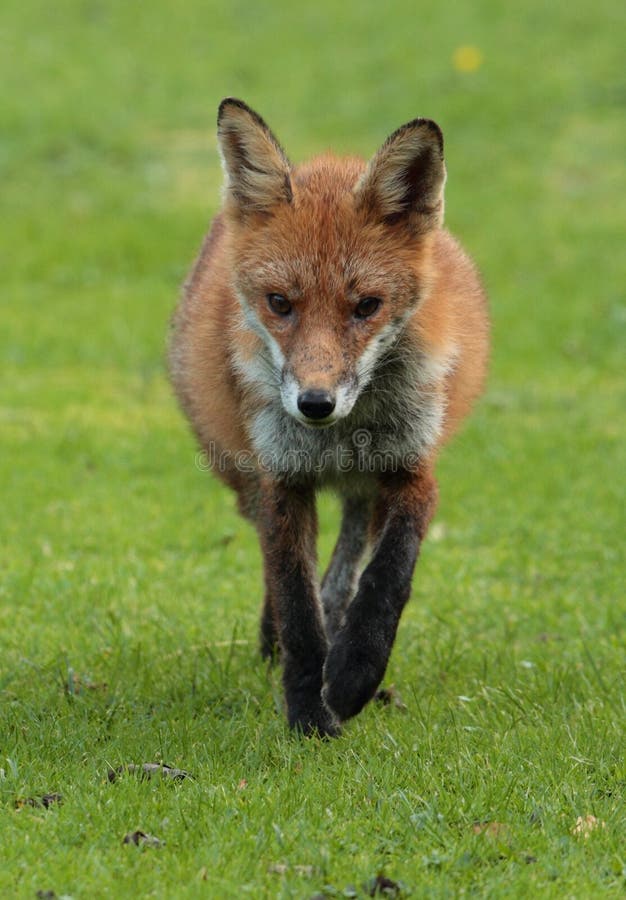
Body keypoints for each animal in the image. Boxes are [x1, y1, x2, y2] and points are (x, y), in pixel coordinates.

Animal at [169, 98, 489, 737]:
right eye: (279, 304)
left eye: (366, 306)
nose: (315, 403)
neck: (343, 437)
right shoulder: (283, 481)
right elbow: (296, 601)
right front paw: (308, 713)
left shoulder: (413, 472)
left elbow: (386, 577)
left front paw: (353, 673)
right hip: (241, 475)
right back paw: (272, 645)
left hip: (365, 489)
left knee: (348, 559)